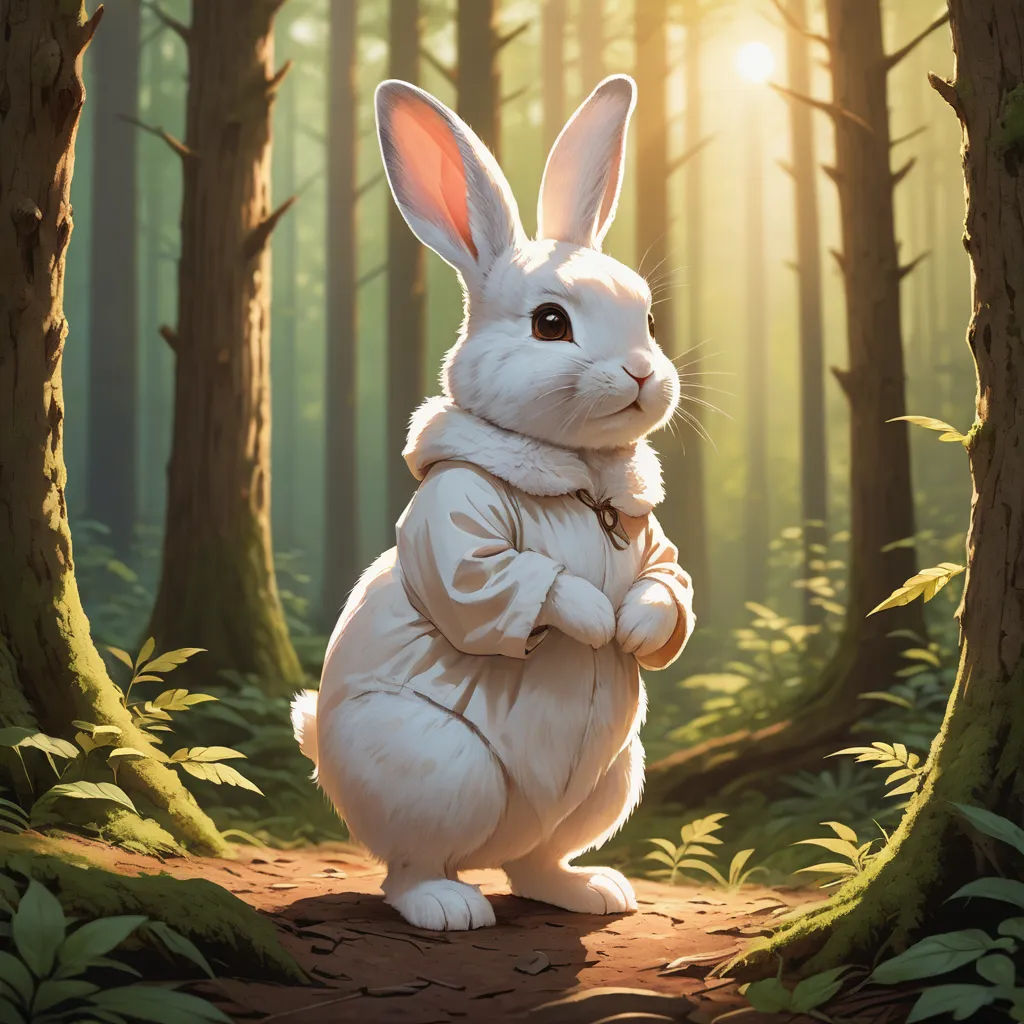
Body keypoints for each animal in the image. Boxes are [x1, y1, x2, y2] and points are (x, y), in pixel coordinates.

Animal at [292, 74, 694, 931]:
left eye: (647, 317)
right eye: (550, 323)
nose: (644, 373)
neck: (579, 476)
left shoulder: (652, 543)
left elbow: (667, 582)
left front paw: (636, 630)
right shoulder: (457, 524)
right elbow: (491, 581)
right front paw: (597, 622)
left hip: (614, 777)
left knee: (535, 862)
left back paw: (593, 891)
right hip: (439, 768)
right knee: (409, 869)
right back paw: (449, 907)